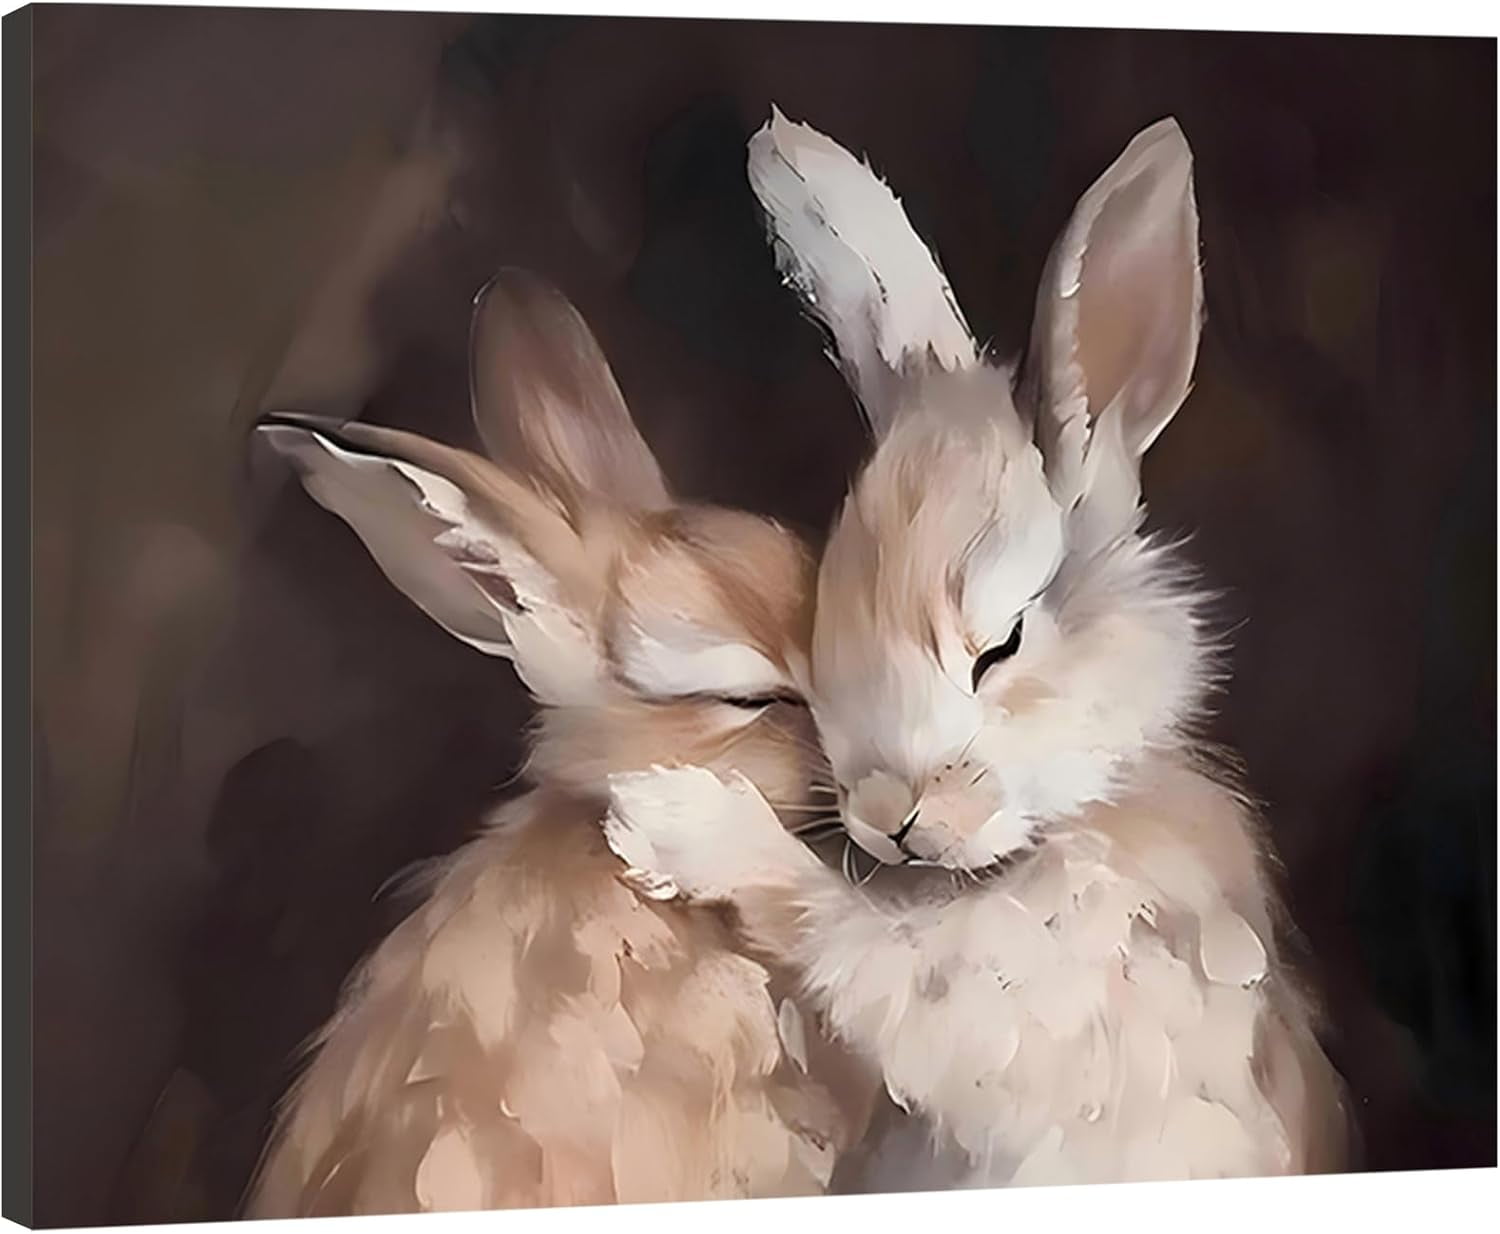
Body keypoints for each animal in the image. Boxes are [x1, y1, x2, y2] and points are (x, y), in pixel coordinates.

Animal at [597, 111, 1353, 1190]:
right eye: (826, 634)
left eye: (1002, 645)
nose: (888, 820)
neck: (1068, 821)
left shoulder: (1028, 1003)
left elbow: (846, 935)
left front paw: (671, 822)